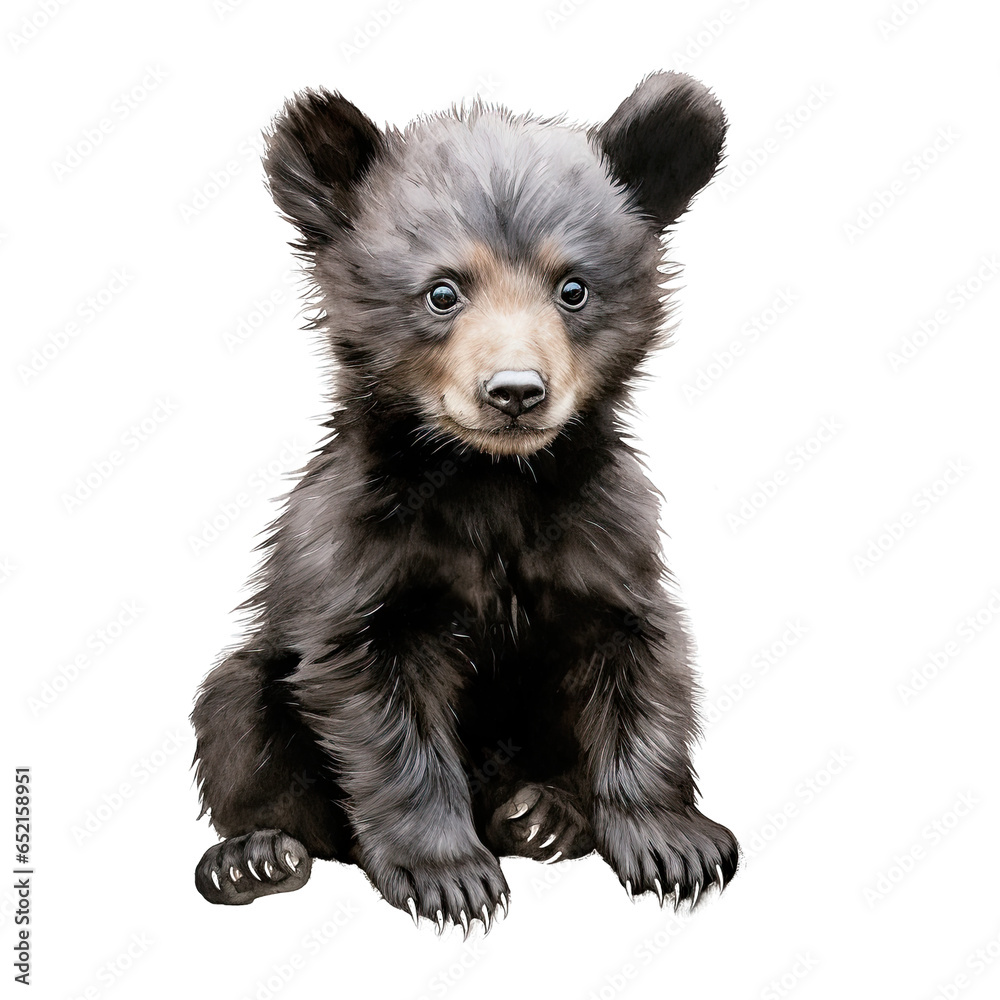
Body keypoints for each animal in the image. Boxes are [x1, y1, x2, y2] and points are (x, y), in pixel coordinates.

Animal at [191, 71, 739, 933]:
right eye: (442, 292)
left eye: (573, 288)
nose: (515, 392)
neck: (493, 480)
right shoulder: (361, 555)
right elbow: (385, 710)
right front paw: (447, 877)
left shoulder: (605, 538)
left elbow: (639, 667)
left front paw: (676, 847)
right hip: (256, 679)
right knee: (235, 712)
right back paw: (254, 856)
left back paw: (543, 814)